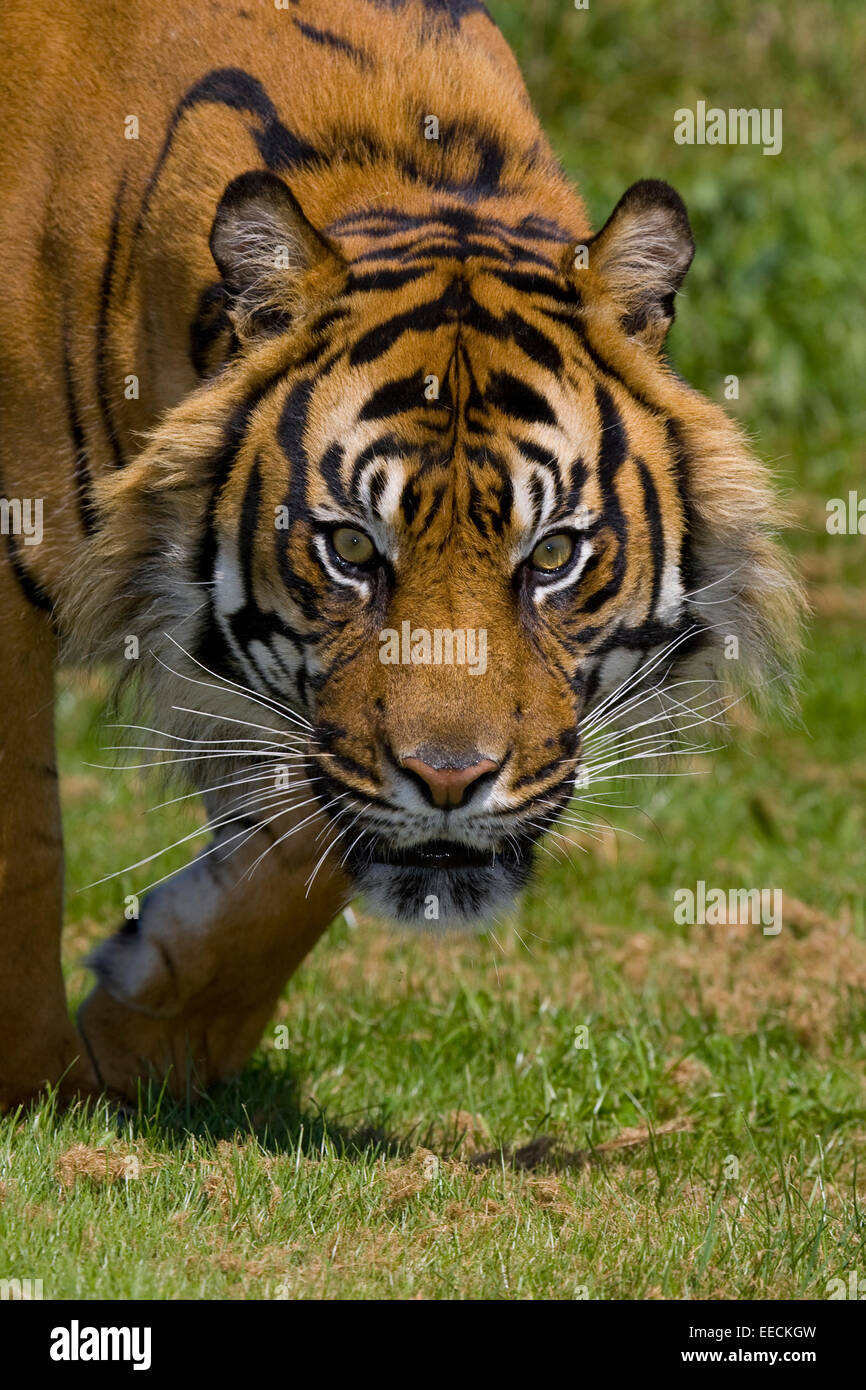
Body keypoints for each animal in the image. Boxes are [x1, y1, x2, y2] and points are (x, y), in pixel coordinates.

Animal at [0, 0, 802, 1106]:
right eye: (348, 546)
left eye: (550, 555)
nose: (452, 785)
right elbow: (23, 850)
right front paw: (33, 1084)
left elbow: (307, 831)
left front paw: (157, 1028)